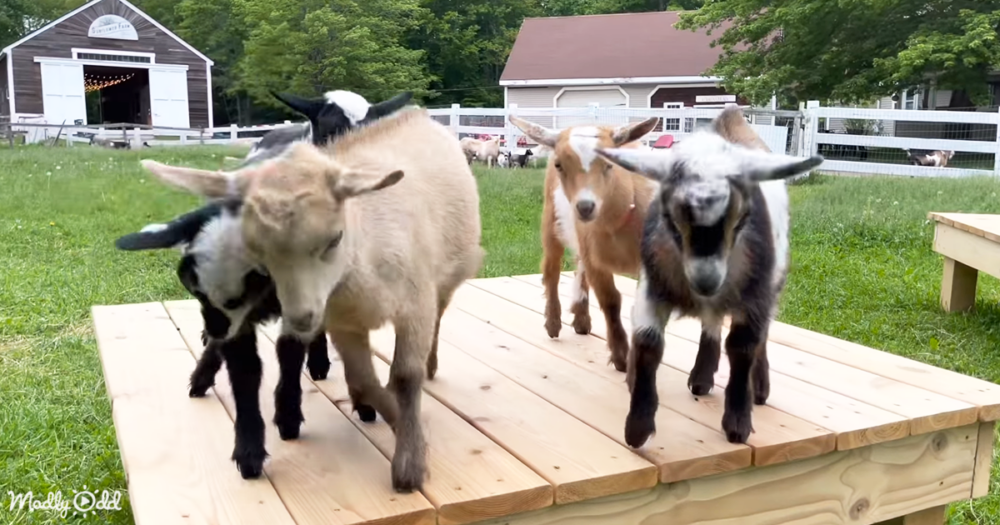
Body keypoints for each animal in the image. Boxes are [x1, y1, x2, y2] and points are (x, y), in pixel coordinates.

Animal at [137, 106, 484, 493]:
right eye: (259, 254)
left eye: (335, 238)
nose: (301, 318)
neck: (363, 260)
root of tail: (417, 114)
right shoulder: (344, 323)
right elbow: (364, 380)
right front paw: (395, 422)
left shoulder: (415, 305)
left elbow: (406, 377)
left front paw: (410, 463)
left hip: (450, 271)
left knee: (440, 315)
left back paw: (431, 363)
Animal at [509, 115, 660, 372]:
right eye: (559, 165)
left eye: (610, 164)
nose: (585, 206)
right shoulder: (596, 261)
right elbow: (611, 302)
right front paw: (621, 357)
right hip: (551, 220)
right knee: (551, 269)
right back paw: (553, 322)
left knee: (578, 266)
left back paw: (580, 318)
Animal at [594, 107, 823, 446]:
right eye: (669, 217)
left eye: (742, 219)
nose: (706, 281)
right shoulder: (652, 286)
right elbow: (648, 342)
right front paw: (637, 428)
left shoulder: (754, 296)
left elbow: (743, 345)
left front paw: (738, 424)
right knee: (711, 324)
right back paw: (701, 378)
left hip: (773, 280)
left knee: (761, 334)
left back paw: (760, 388)